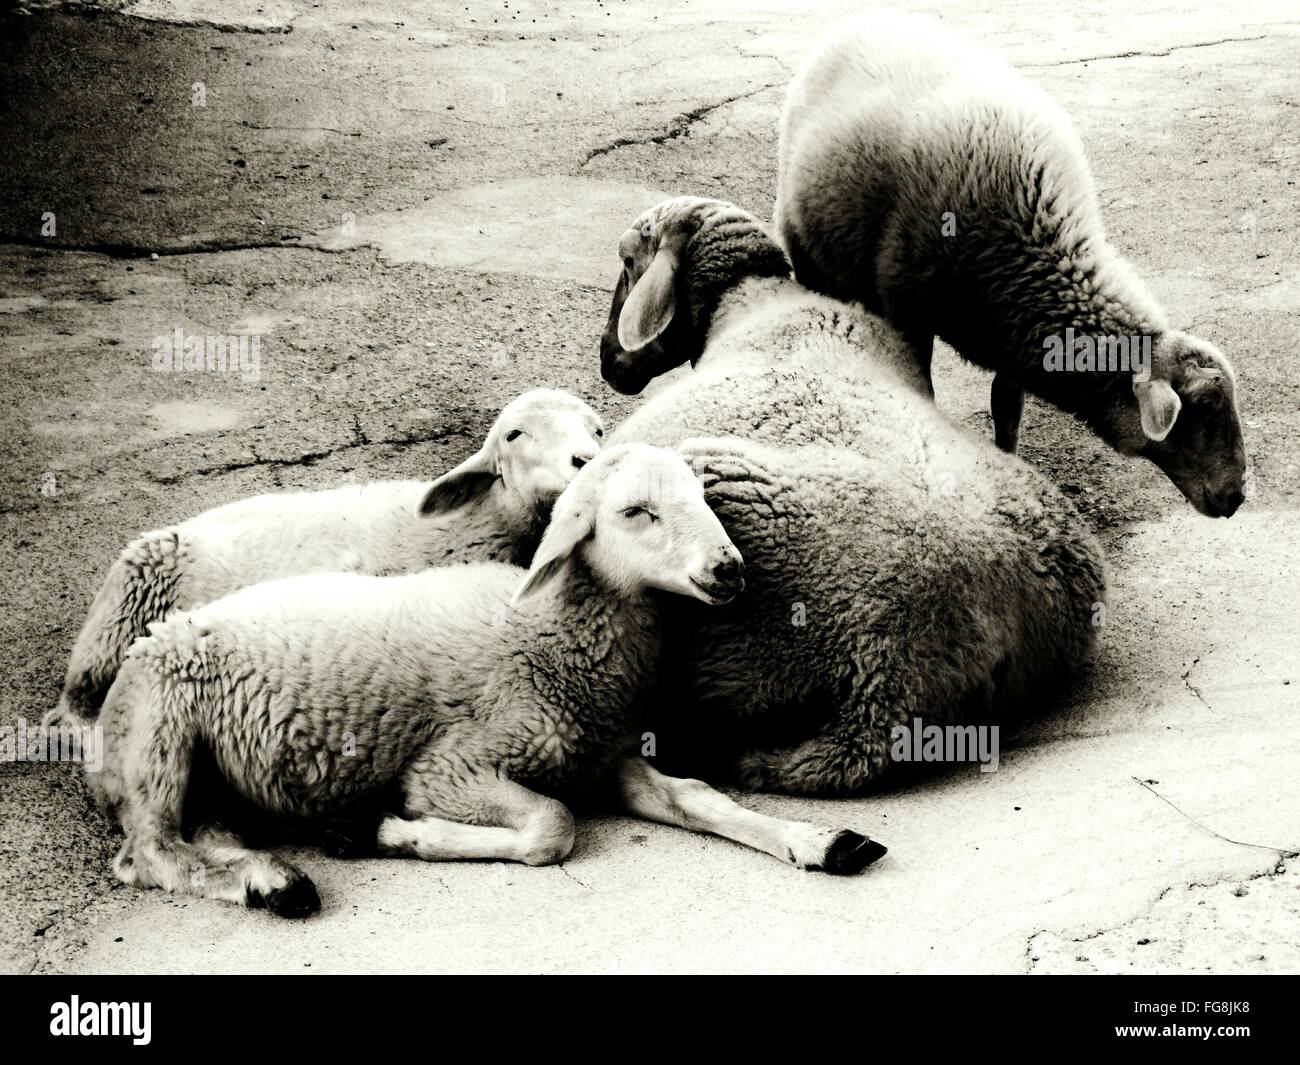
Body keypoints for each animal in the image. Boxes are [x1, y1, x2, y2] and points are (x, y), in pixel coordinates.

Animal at [47, 388, 604, 729]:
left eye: (597, 429)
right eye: (514, 434)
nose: (586, 461)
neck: (480, 521)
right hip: (122, 606)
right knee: (79, 691)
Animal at [95, 443, 885, 916]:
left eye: (701, 494)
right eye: (635, 511)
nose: (729, 570)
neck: (553, 637)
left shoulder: (599, 754)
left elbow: (696, 795)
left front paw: (819, 840)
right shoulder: (450, 768)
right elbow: (551, 827)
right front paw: (386, 831)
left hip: (206, 769)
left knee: (195, 831)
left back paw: (265, 862)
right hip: (161, 727)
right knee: (150, 853)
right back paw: (274, 881)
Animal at [774, 9, 1248, 517]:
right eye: (1202, 408)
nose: (1238, 495)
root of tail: (863, 19)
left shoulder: (1013, 337)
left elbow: (1007, 411)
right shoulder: (911, 318)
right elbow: (924, 394)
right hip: (806, 246)